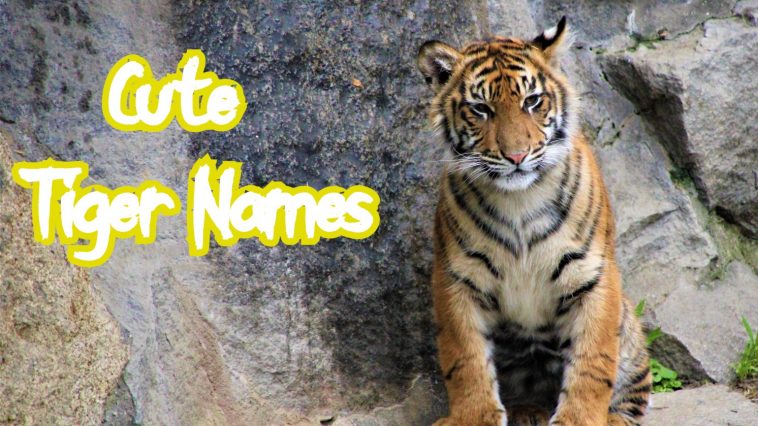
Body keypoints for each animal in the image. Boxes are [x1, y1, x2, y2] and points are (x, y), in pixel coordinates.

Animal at [416, 17, 651, 426]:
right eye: (481, 108)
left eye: (532, 101)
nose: (516, 156)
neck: (518, 200)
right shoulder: (457, 279)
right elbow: (464, 358)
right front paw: (474, 416)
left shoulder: (593, 275)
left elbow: (593, 361)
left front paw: (580, 419)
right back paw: (527, 412)